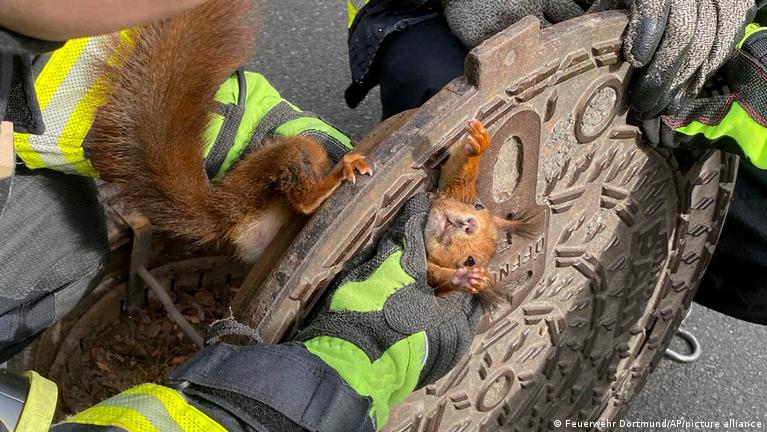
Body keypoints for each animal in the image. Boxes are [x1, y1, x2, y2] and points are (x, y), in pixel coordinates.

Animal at [426, 119, 533, 304]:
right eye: (478, 206)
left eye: (470, 261)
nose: (470, 225)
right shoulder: (454, 191)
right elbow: (455, 173)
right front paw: (479, 144)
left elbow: (434, 282)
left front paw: (466, 280)